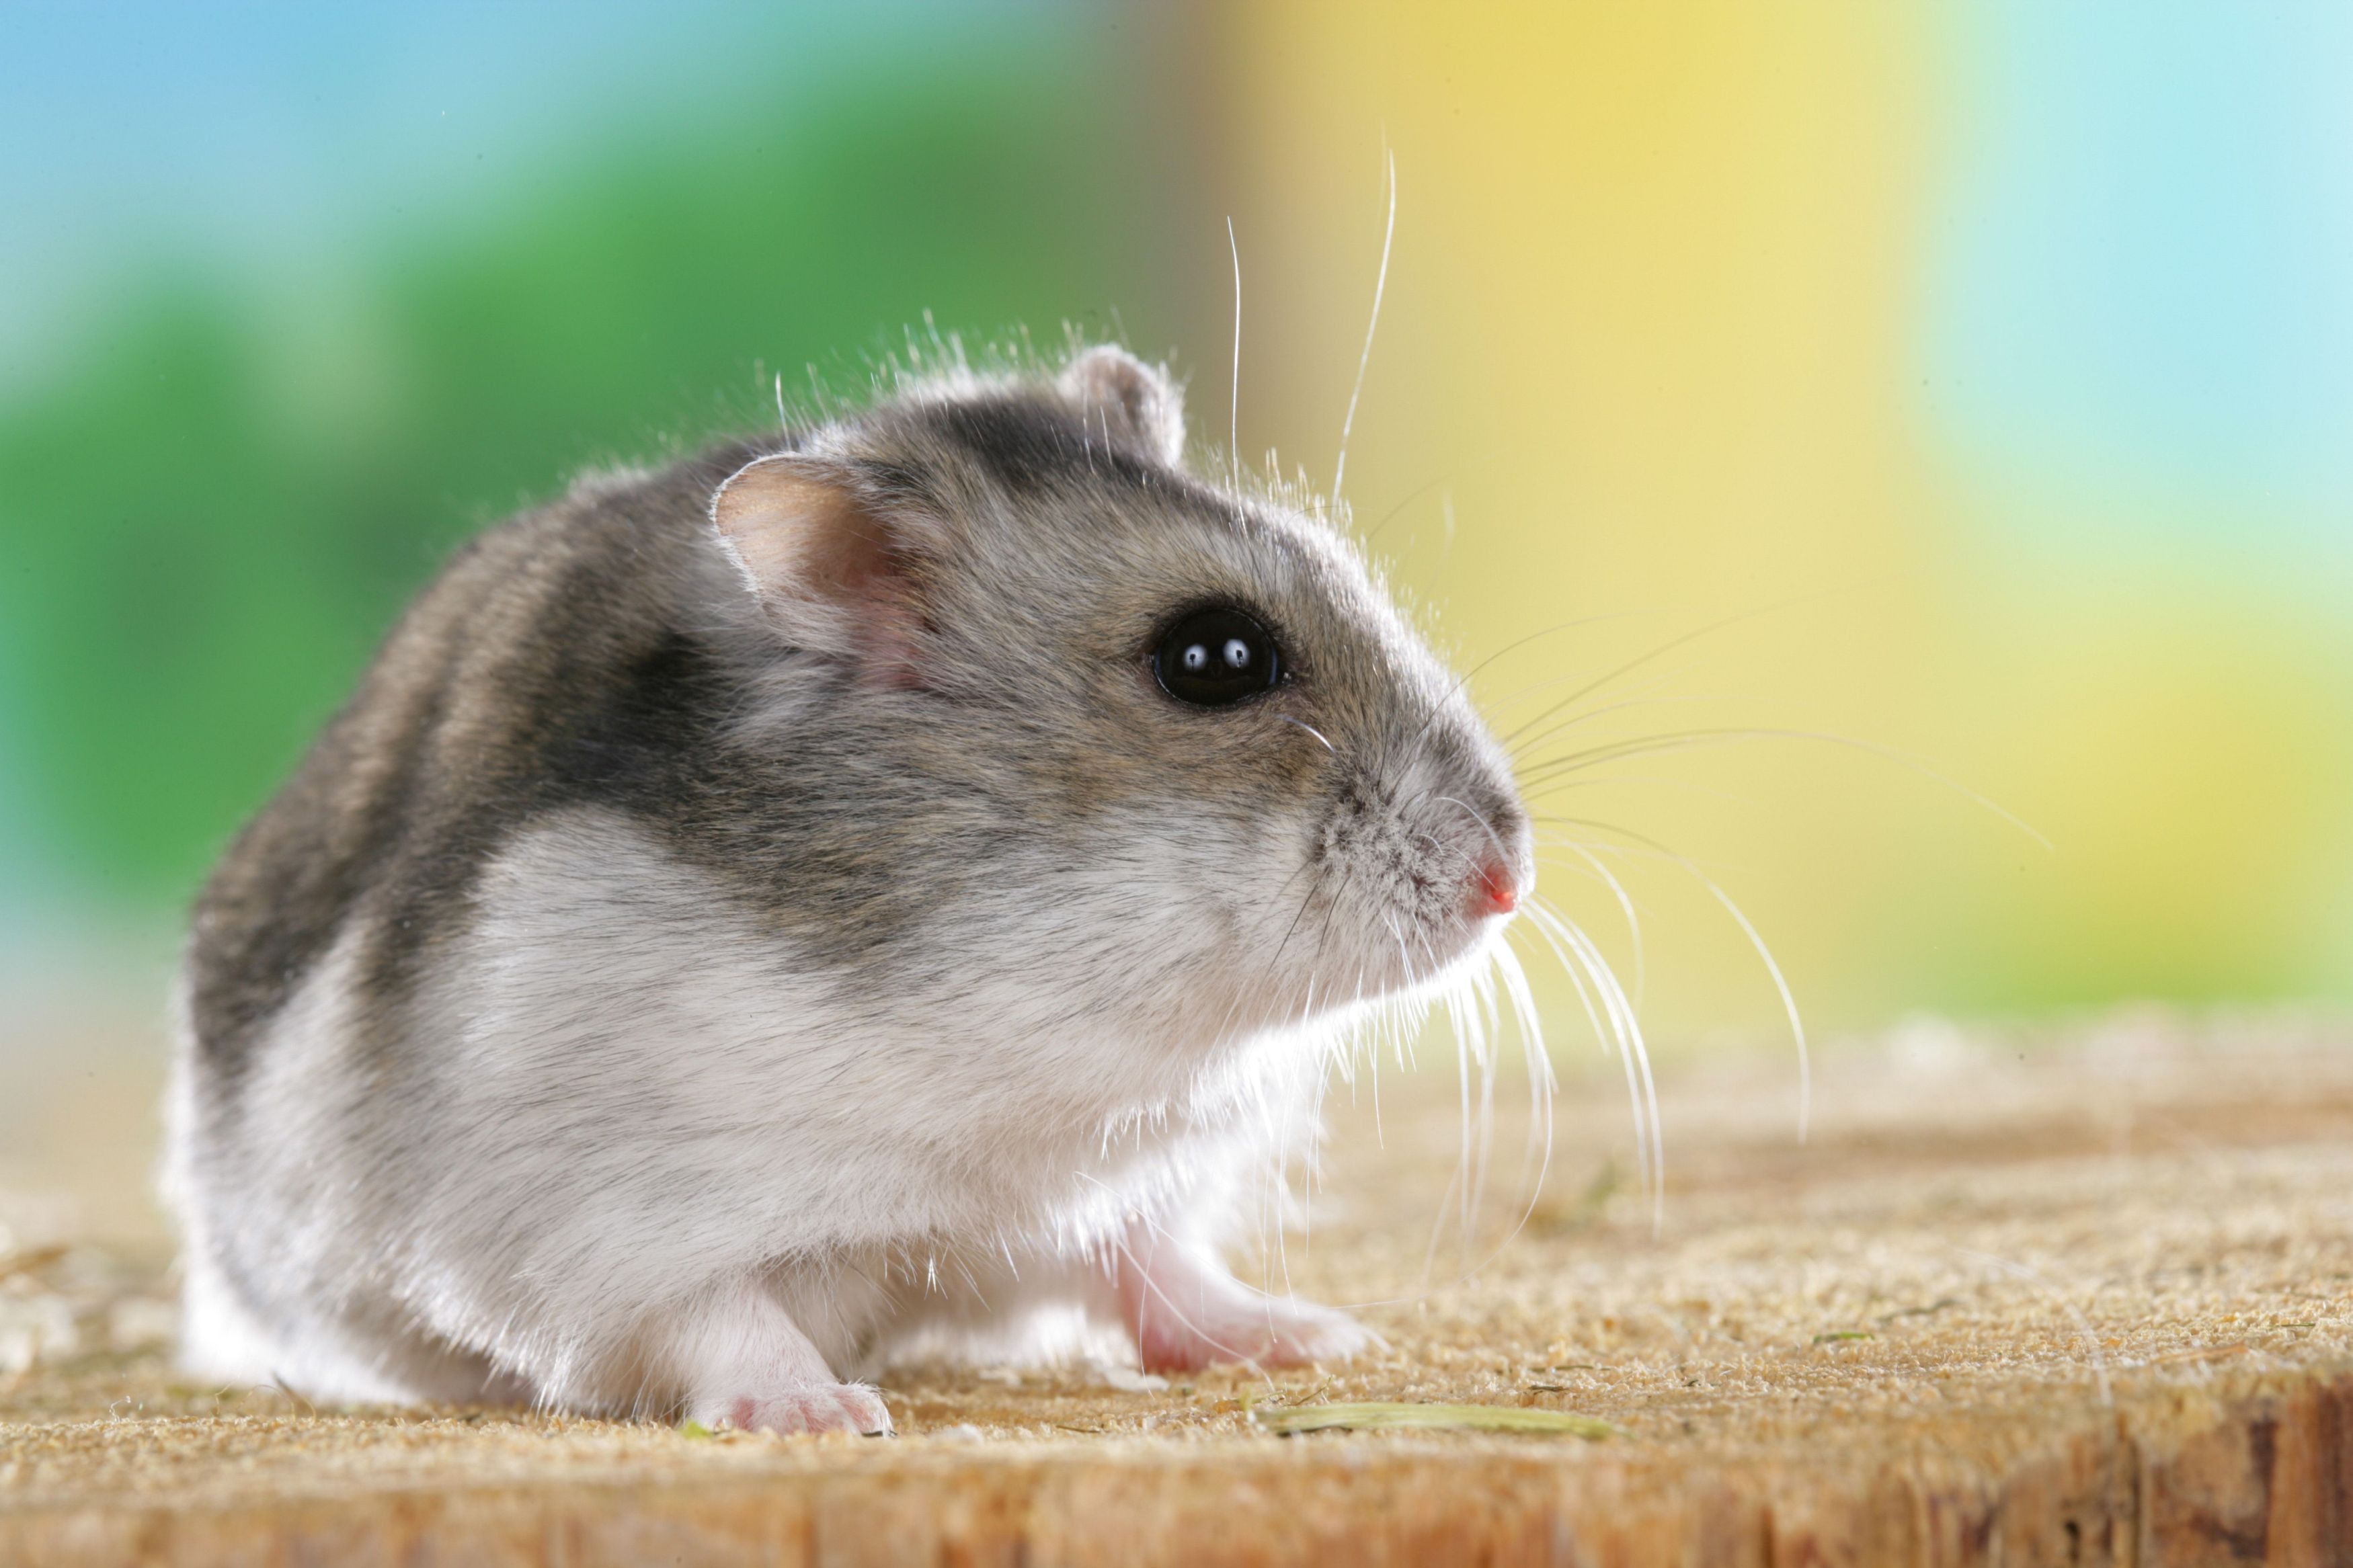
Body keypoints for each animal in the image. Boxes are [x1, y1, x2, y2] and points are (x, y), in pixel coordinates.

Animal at [162, 345, 1532, 1435]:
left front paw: (1312, 1336)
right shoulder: (599, 1224)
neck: (1026, 965)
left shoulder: (1127, 1176)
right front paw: (824, 1413)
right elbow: (721, 1314)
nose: (1508, 879)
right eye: (1214, 657)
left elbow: (1159, 1264)